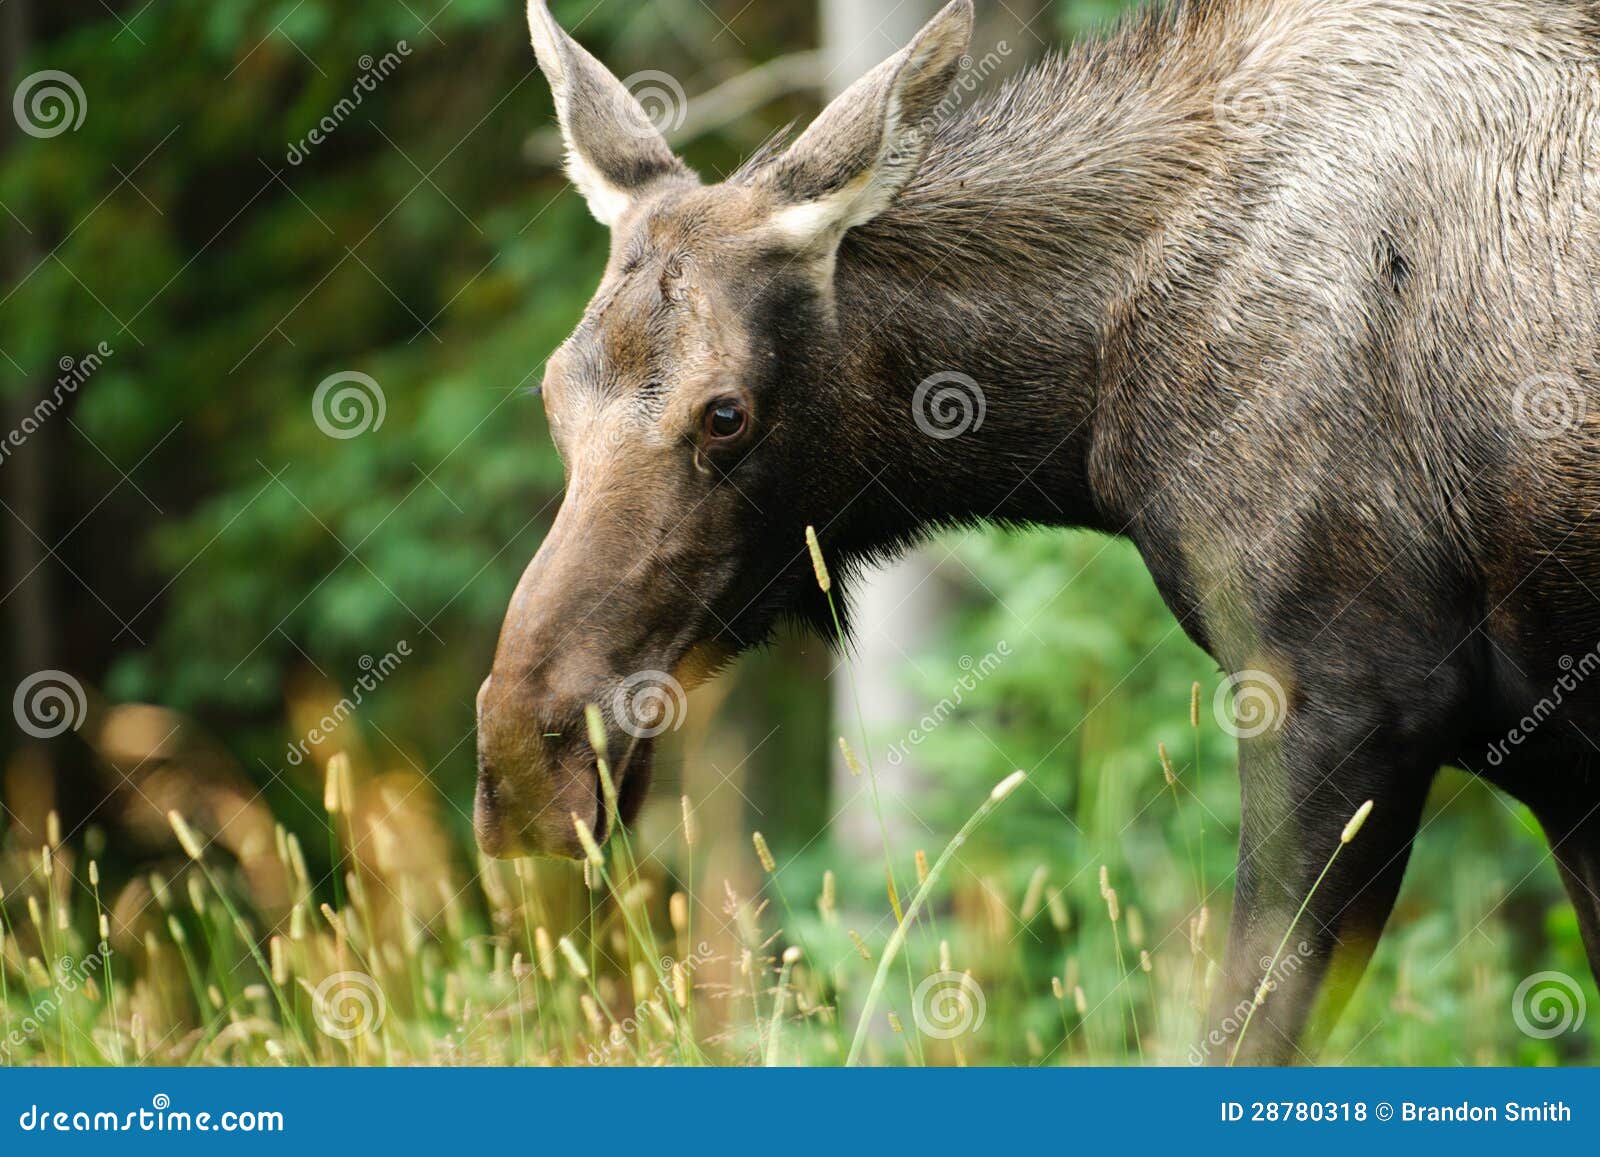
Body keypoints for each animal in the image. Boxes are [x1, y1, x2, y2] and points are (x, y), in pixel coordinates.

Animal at [475, 0, 1600, 1062]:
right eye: (549, 394)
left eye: (725, 413)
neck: (1087, 407)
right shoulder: (1552, 760)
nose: (524, 760)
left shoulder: (1352, 693)